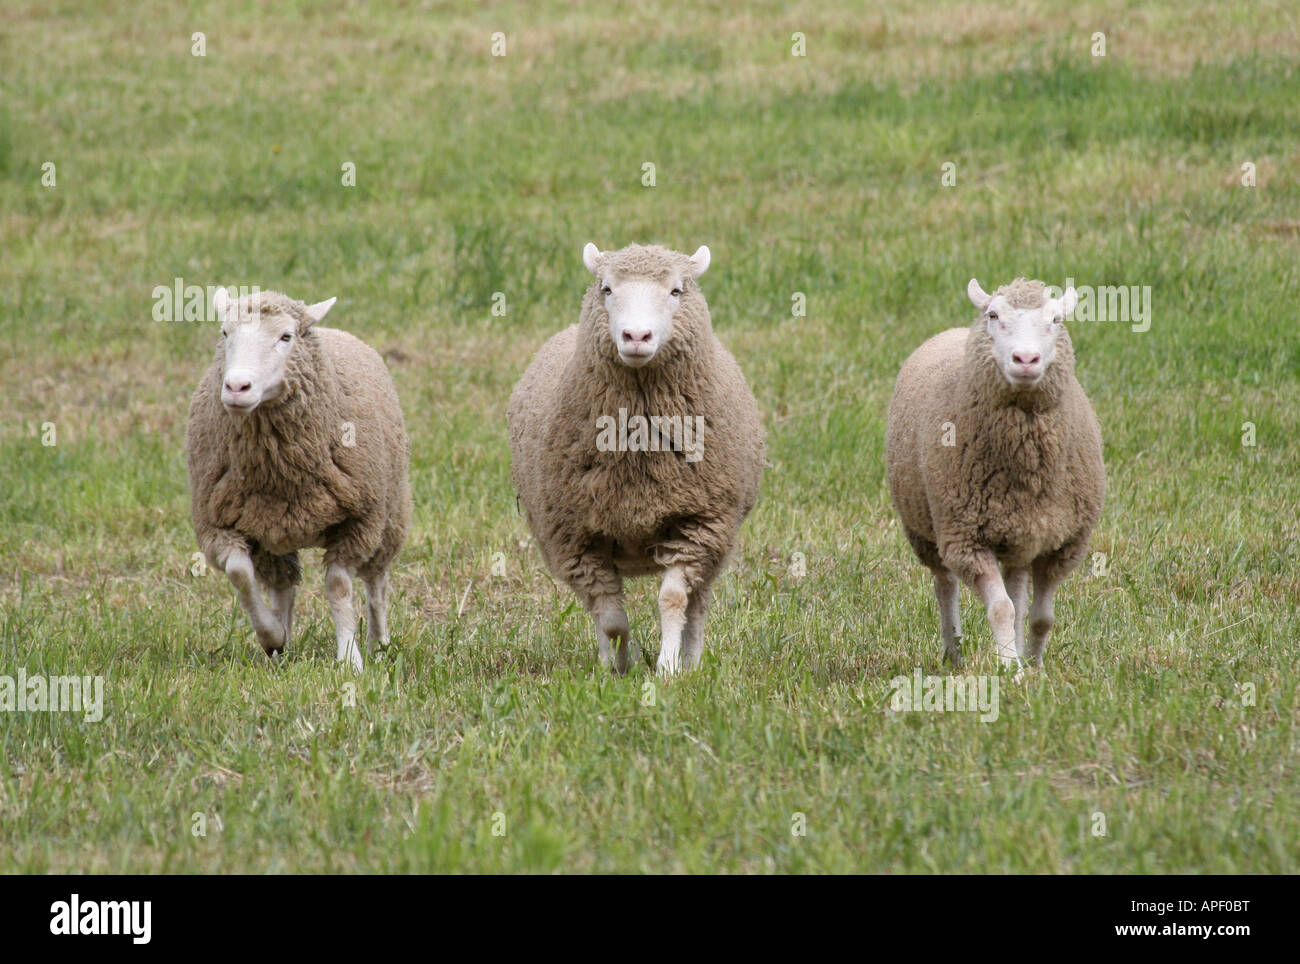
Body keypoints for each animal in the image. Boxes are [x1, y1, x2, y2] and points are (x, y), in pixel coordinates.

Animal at [186, 287, 412, 672]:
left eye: (286, 337)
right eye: (225, 333)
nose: (236, 387)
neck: (280, 473)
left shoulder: (358, 522)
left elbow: (338, 587)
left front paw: (349, 658)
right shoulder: (218, 525)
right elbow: (240, 575)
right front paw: (271, 636)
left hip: (389, 512)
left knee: (377, 580)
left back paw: (379, 642)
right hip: (271, 529)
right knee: (282, 586)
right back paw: (281, 644)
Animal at [507, 243, 764, 675]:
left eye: (676, 290)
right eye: (607, 288)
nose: (637, 336)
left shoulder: (698, 526)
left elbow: (673, 600)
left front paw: (668, 668)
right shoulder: (578, 540)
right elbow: (610, 618)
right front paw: (618, 670)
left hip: (716, 541)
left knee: (697, 604)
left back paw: (692, 661)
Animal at [885, 277, 1105, 671]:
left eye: (1056, 319)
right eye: (993, 315)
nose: (1026, 360)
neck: (1028, 466)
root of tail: (952, 331)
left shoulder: (1064, 544)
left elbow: (1040, 616)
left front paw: (1033, 667)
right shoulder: (967, 539)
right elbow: (1001, 609)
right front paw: (1009, 670)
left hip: (1018, 537)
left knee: (1016, 590)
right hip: (926, 529)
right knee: (945, 585)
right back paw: (954, 653)